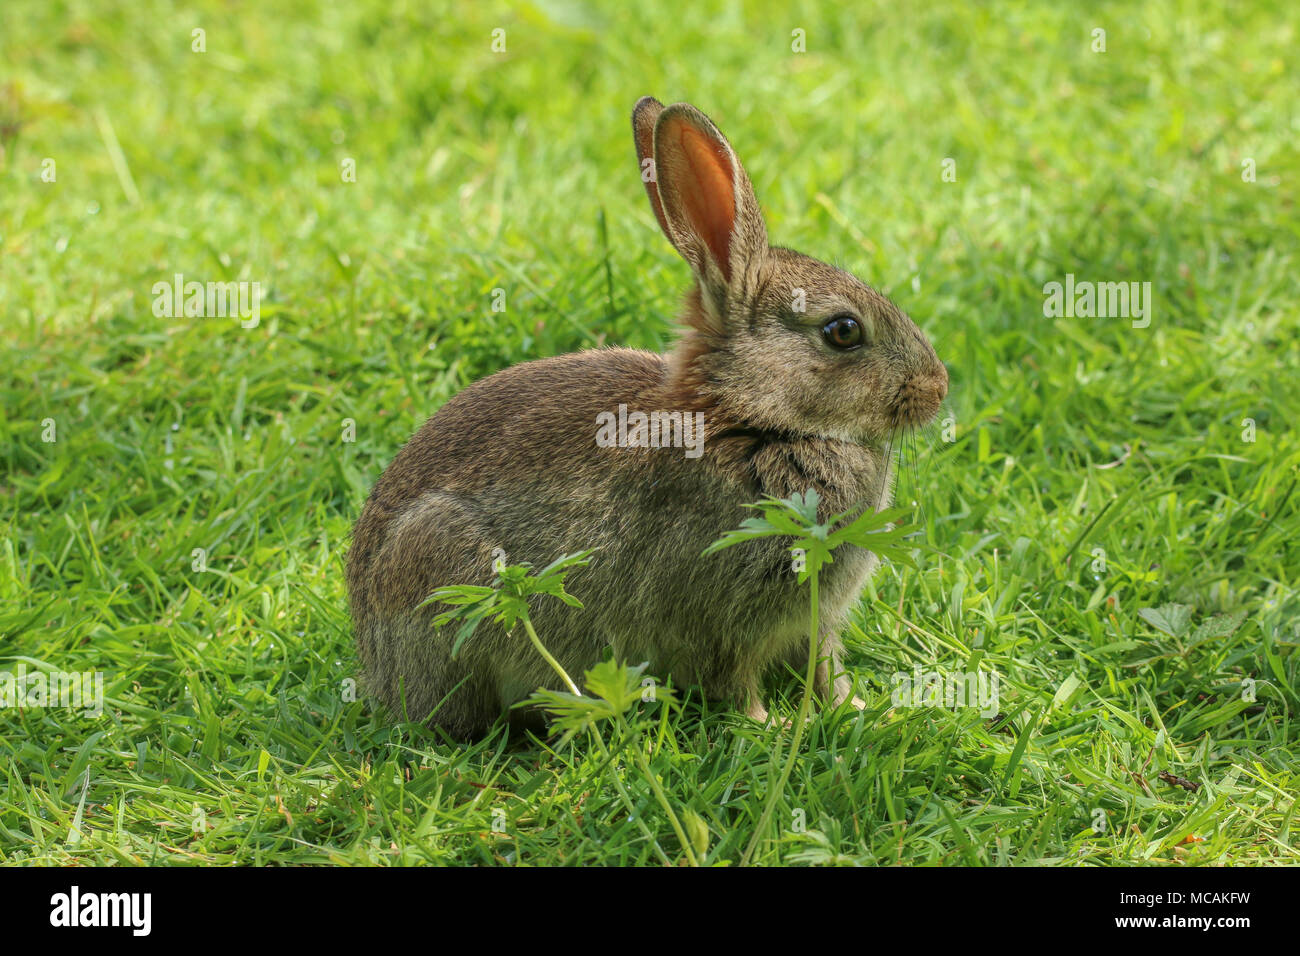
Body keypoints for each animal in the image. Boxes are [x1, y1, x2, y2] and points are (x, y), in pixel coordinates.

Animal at [346, 96, 949, 740]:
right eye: (843, 331)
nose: (937, 388)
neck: (754, 420)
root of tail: (375, 659)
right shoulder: (720, 619)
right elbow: (736, 682)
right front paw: (775, 727)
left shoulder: (817, 620)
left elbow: (826, 666)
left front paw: (859, 710)